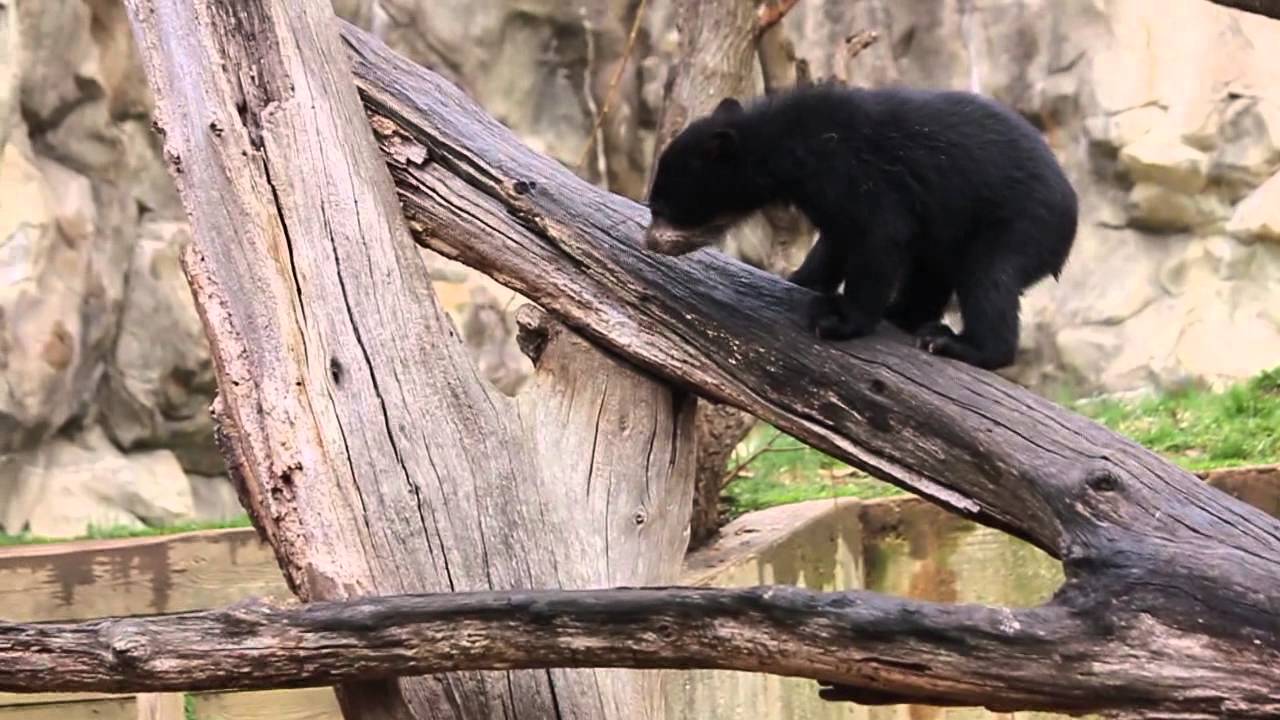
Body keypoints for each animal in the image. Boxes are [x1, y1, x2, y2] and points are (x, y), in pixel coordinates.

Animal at [642, 85, 1078, 370]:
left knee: (989, 279)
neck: (787, 146)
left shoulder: (855, 175)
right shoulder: (828, 195)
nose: (649, 241)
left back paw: (951, 343)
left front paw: (837, 321)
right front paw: (801, 280)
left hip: (1018, 226)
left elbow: (877, 238)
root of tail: (1071, 214)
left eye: (662, 207)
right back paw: (904, 315)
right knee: (932, 271)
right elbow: (836, 240)